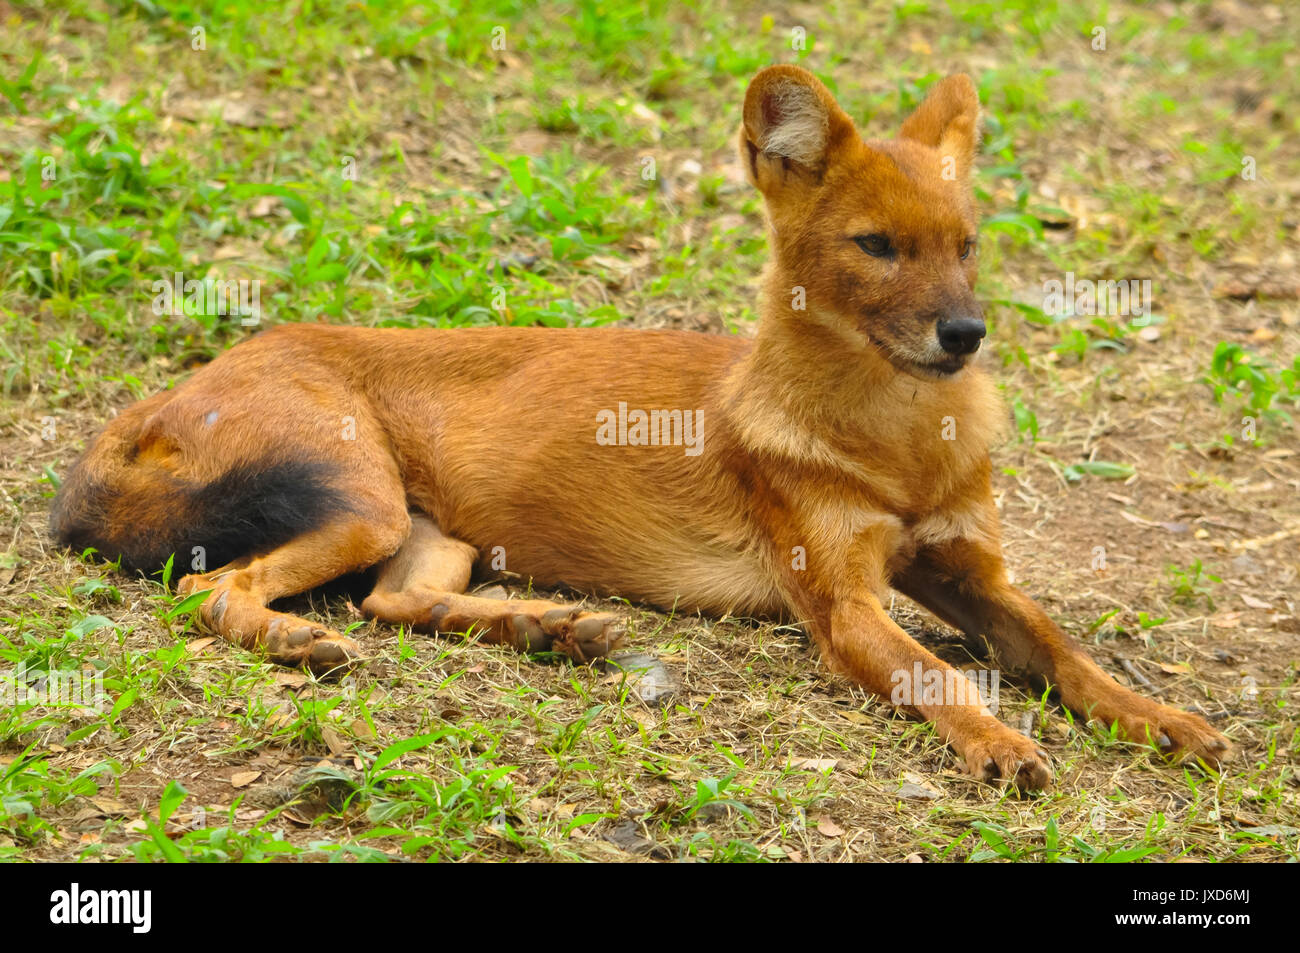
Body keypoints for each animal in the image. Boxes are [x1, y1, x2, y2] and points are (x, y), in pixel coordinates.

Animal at [50, 65, 1230, 788]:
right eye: (876, 245)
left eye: (968, 243)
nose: (964, 332)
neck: (896, 438)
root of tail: (168, 388)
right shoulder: (842, 604)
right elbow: (938, 673)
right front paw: (996, 739)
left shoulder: (969, 569)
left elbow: (1065, 650)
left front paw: (1158, 716)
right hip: (359, 495)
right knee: (215, 590)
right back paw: (304, 636)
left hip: (436, 530)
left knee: (396, 600)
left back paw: (550, 627)